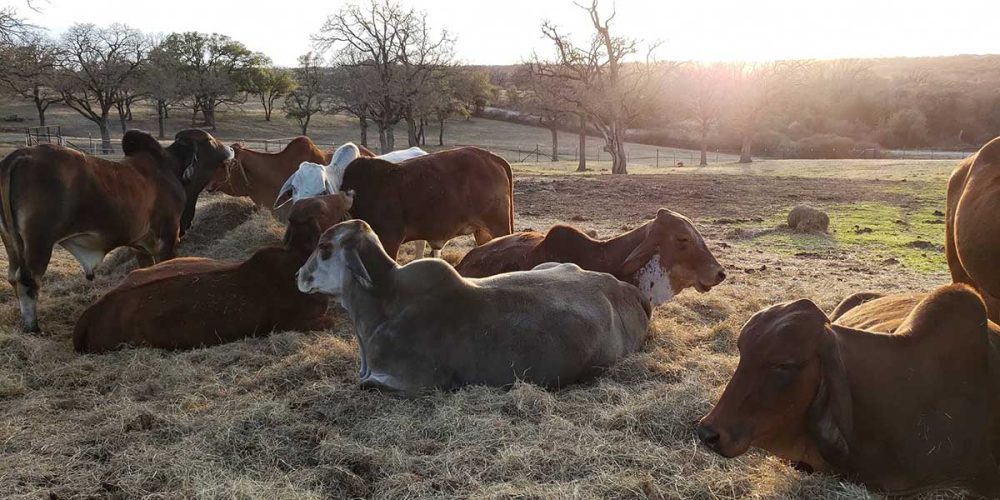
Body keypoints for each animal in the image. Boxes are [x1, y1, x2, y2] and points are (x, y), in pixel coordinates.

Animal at [0, 129, 230, 333]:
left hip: (12, 243)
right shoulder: (167, 238)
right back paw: (33, 327)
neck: (172, 169)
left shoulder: (142, 245)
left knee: (13, 277)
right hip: (39, 242)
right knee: (28, 281)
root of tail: (19, 156)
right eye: (210, 141)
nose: (229, 148)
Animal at [278, 145, 513, 259]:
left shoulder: (390, 239)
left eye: (321, 190)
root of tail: (492, 157)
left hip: (499, 226)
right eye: (294, 189)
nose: (295, 216)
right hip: (482, 232)